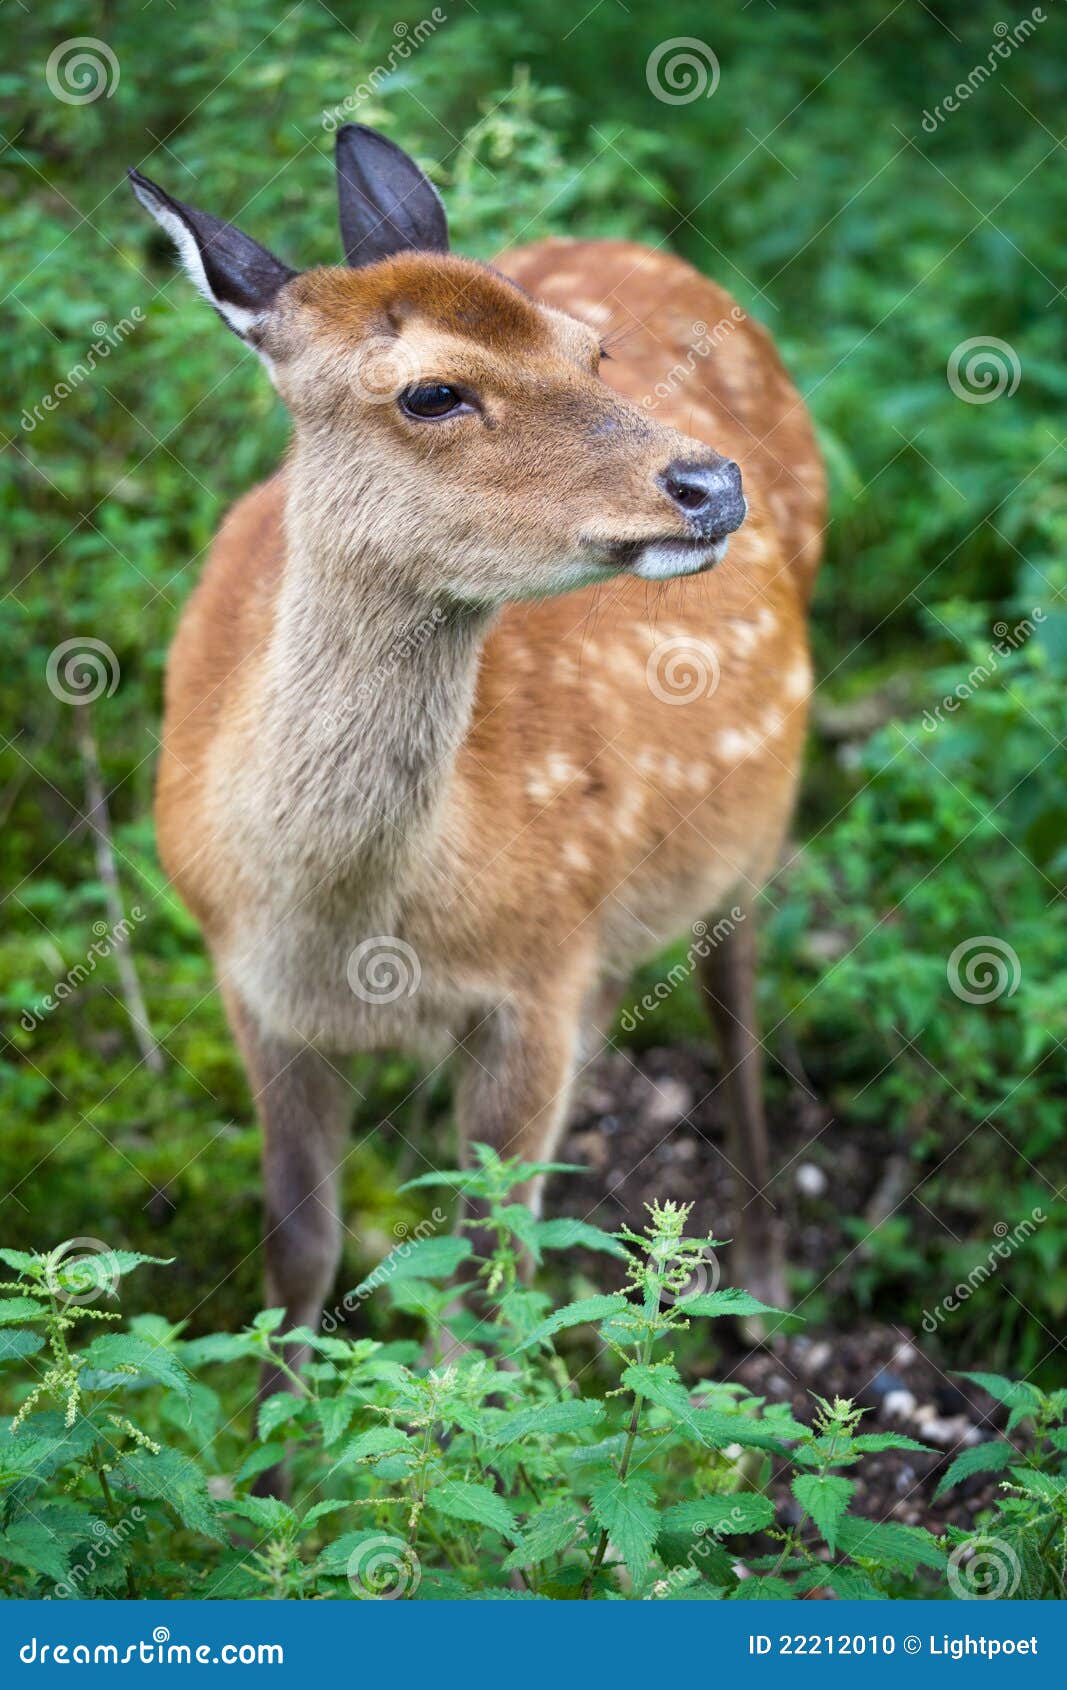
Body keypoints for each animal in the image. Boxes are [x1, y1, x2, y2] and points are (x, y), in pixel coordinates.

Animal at [129, 125, 825, 1393]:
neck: (351, 928)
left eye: (587, 348)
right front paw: (266, 1438)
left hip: (752, 819)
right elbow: (300, 1244)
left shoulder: (531, 978)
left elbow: (476, 1281)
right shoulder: (249, 987)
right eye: (432, 392)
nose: (709, 483)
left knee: (735, 1001)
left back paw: (760, 1285)